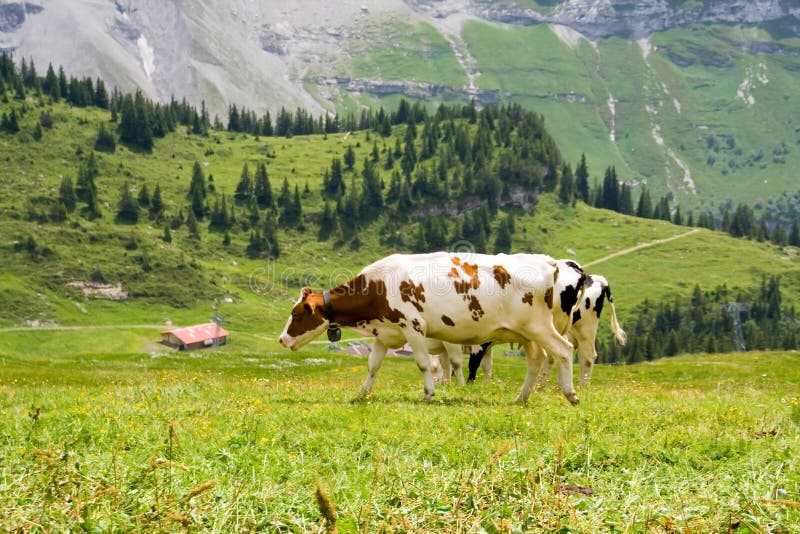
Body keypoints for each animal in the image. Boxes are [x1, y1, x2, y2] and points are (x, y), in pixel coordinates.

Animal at [278, 252, 581, 404]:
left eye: (296, 314)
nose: (282, 340)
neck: (379, 284)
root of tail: (549, 262)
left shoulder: (412, 325)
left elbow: (424, 363)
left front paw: (428, 393)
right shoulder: (386, 333)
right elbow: (373, 365)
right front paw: (363, 393)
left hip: (539, 326)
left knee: (564, 350)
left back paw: (570, 394)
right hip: (525, 333)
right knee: (537, 359)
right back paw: (521, 397)